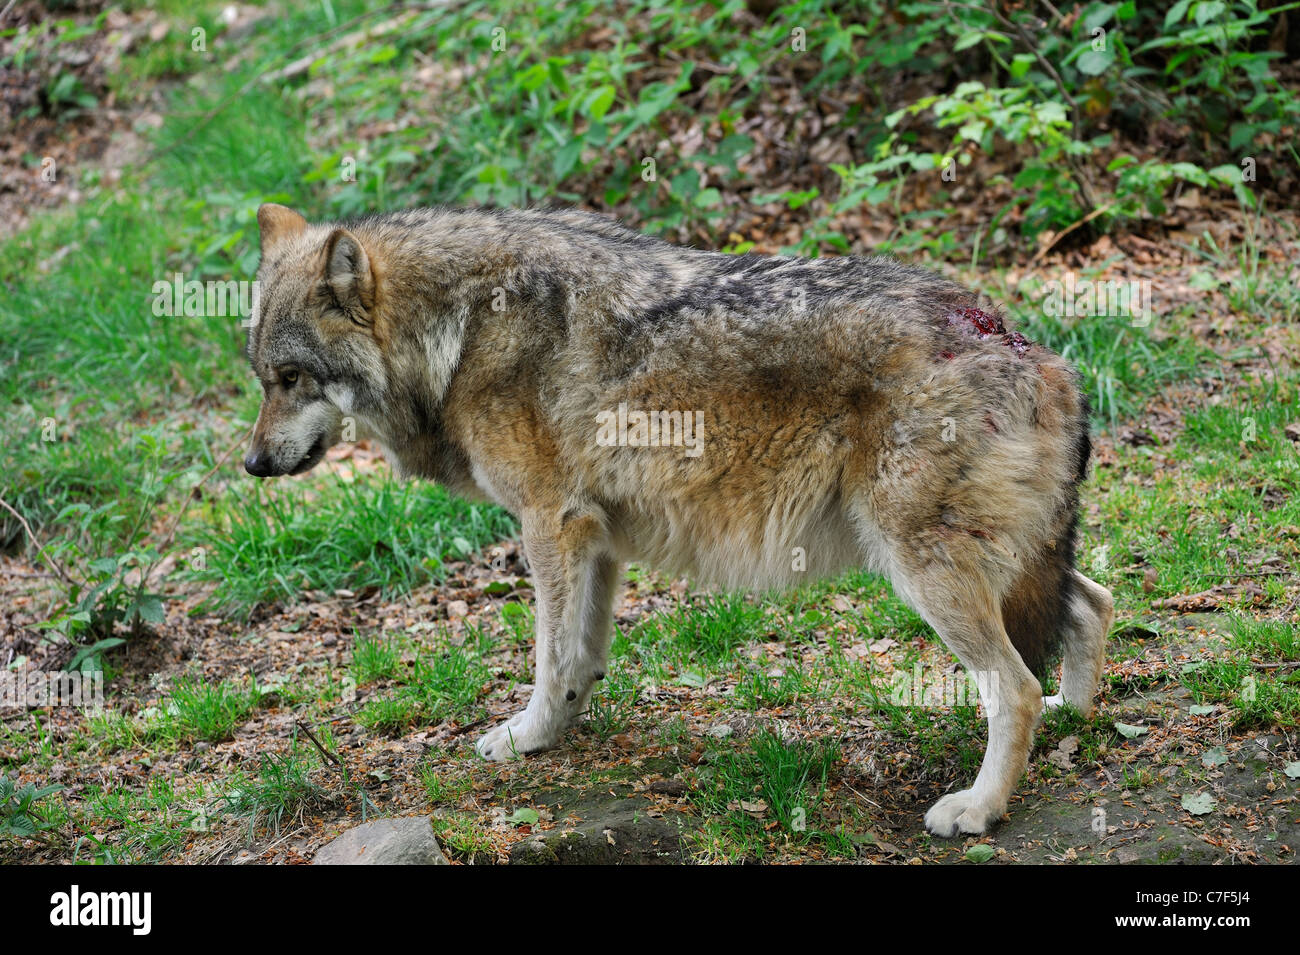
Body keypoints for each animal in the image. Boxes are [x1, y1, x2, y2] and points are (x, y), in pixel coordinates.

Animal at [244, 203, 1114, 836]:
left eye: (291, 378)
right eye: (261, 378)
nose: (251, 465)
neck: (457, 331)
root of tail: (1036, 348)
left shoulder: (548, 525)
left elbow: (547, 657)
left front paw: (523, 738)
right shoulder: (595, 537)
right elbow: (580, 657)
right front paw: (556, 733)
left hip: (924, 569)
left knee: (1015, 686)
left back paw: (980, 808)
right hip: (1006, 562)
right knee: (1092, 607)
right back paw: (1074, 717)